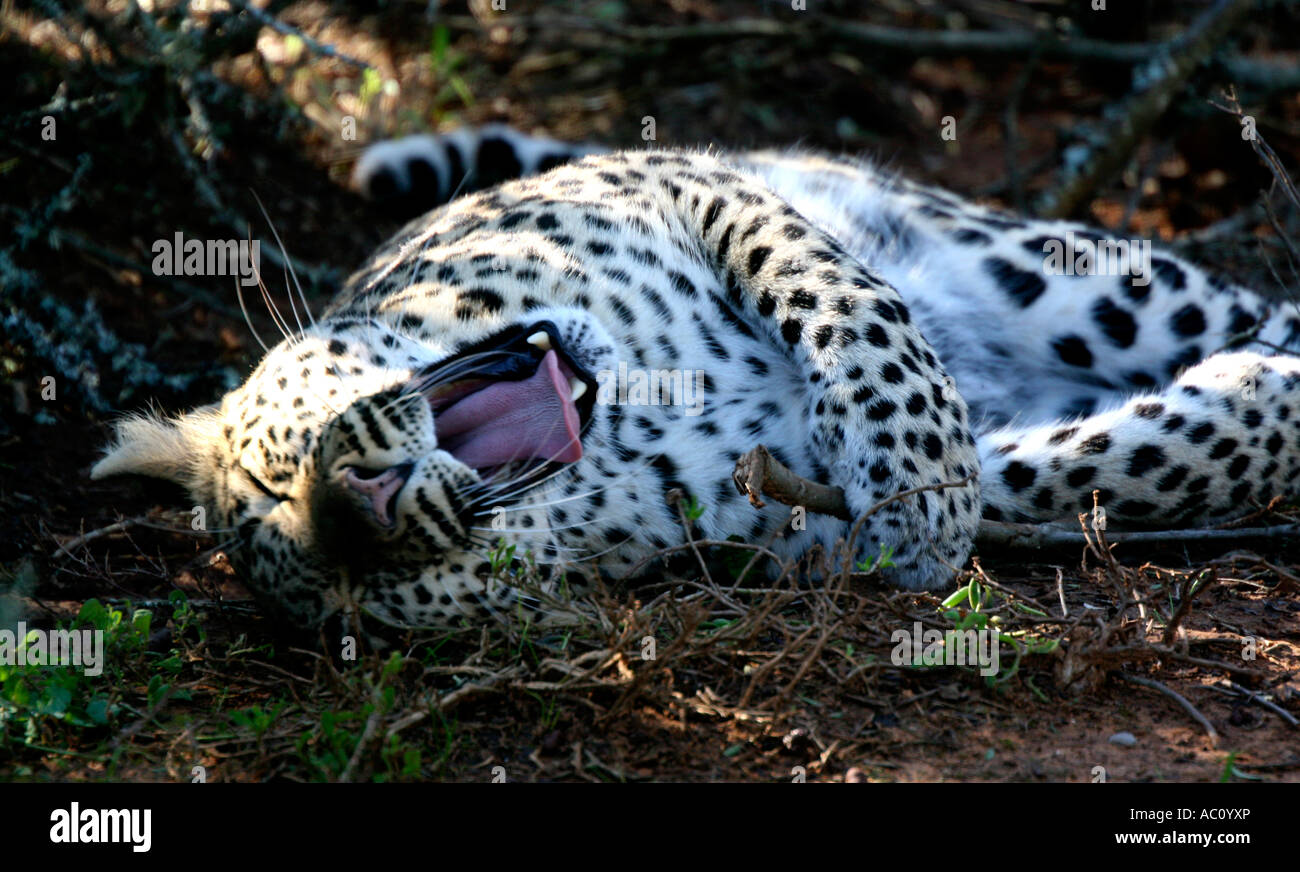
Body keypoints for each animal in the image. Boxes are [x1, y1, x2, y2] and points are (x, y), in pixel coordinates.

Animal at [91, 124, 1300, 637]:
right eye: (369, 588)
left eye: (281, 467)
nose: (372, 506)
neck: (634, 415)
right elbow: (1121, 465)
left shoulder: (682, 182)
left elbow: (838, 298)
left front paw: (913, 467)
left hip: (1063, 274)